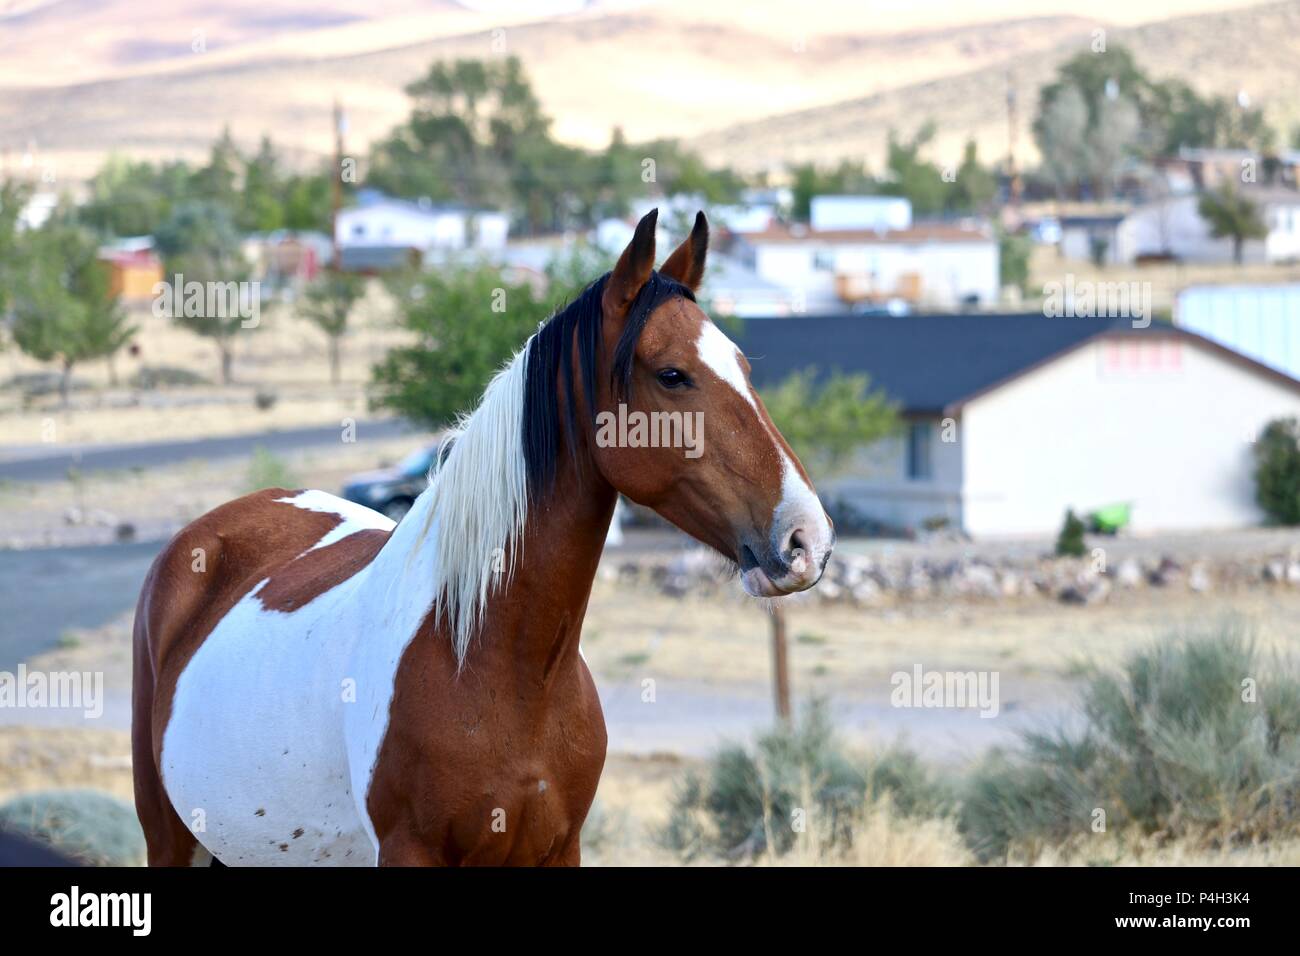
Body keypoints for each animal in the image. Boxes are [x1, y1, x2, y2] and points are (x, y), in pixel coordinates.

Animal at [131, 209, 835, 866]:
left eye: (743, 365)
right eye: (671, 374)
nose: (807, 538)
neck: (493, 661)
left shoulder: (560, 849)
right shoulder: (410, 851)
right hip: (170, 838)